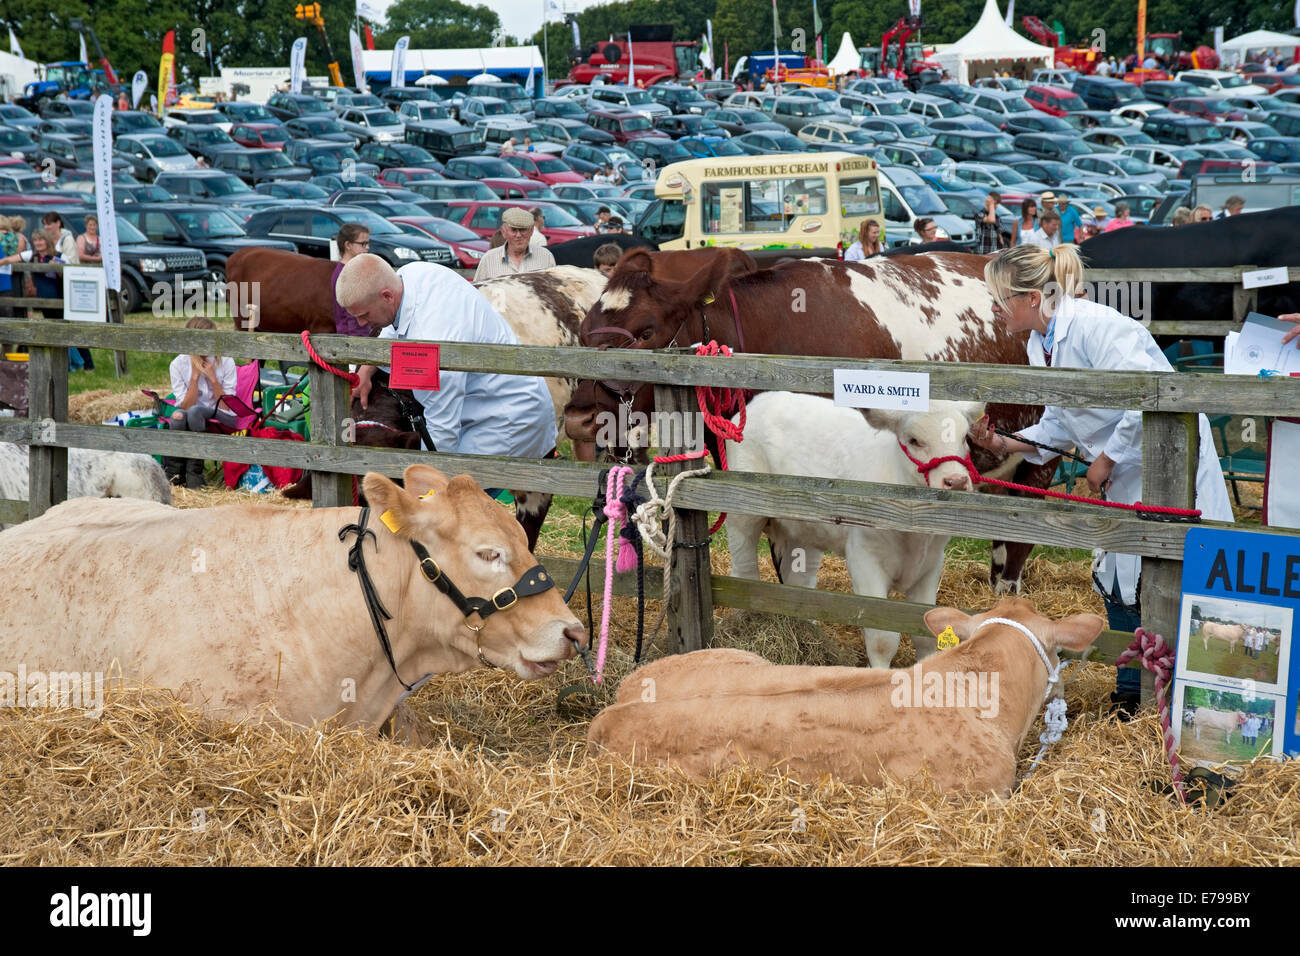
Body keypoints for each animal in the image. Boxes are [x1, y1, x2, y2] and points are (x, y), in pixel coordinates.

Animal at [725, 392, 986, 667]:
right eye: (914, 440)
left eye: (964, 437)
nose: (956, 481)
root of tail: (762, 400)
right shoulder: (865, 559)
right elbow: (882, 641)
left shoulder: (931, 564)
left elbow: (925, 634)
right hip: (742, 515)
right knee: (743, 571)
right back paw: (745, 622)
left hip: (805, 531)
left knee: (798, 581)